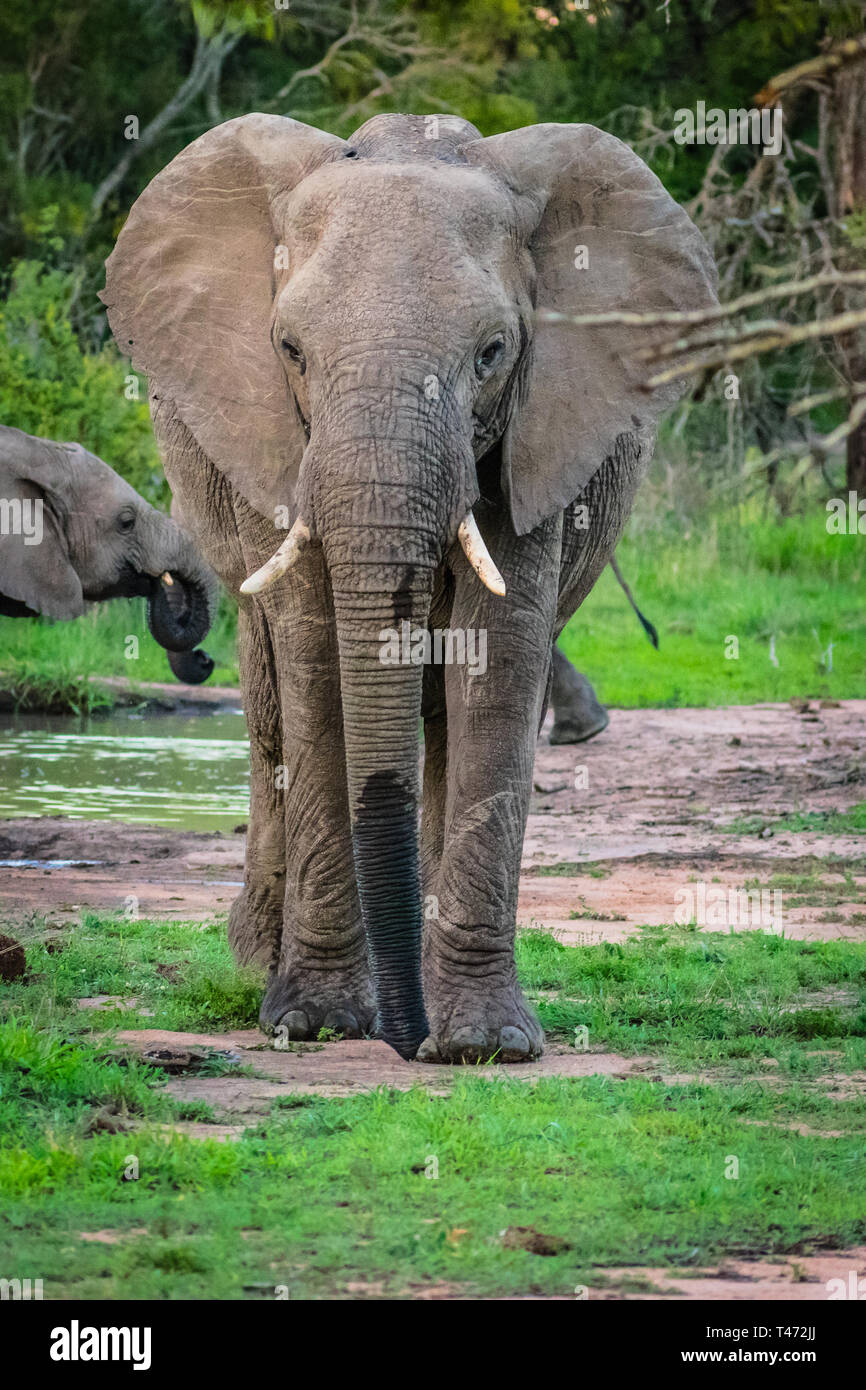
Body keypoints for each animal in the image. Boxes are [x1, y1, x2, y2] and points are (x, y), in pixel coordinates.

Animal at [102, 112, 716, 1063]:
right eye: (290, 351)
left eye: (493, 353)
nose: (403, 1037)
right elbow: (316, 663)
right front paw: (312, 1022)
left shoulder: (534, 433)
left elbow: (494, 672)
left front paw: (484, 1044)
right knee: (272, 706)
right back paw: (259, 966)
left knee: (436, 723)